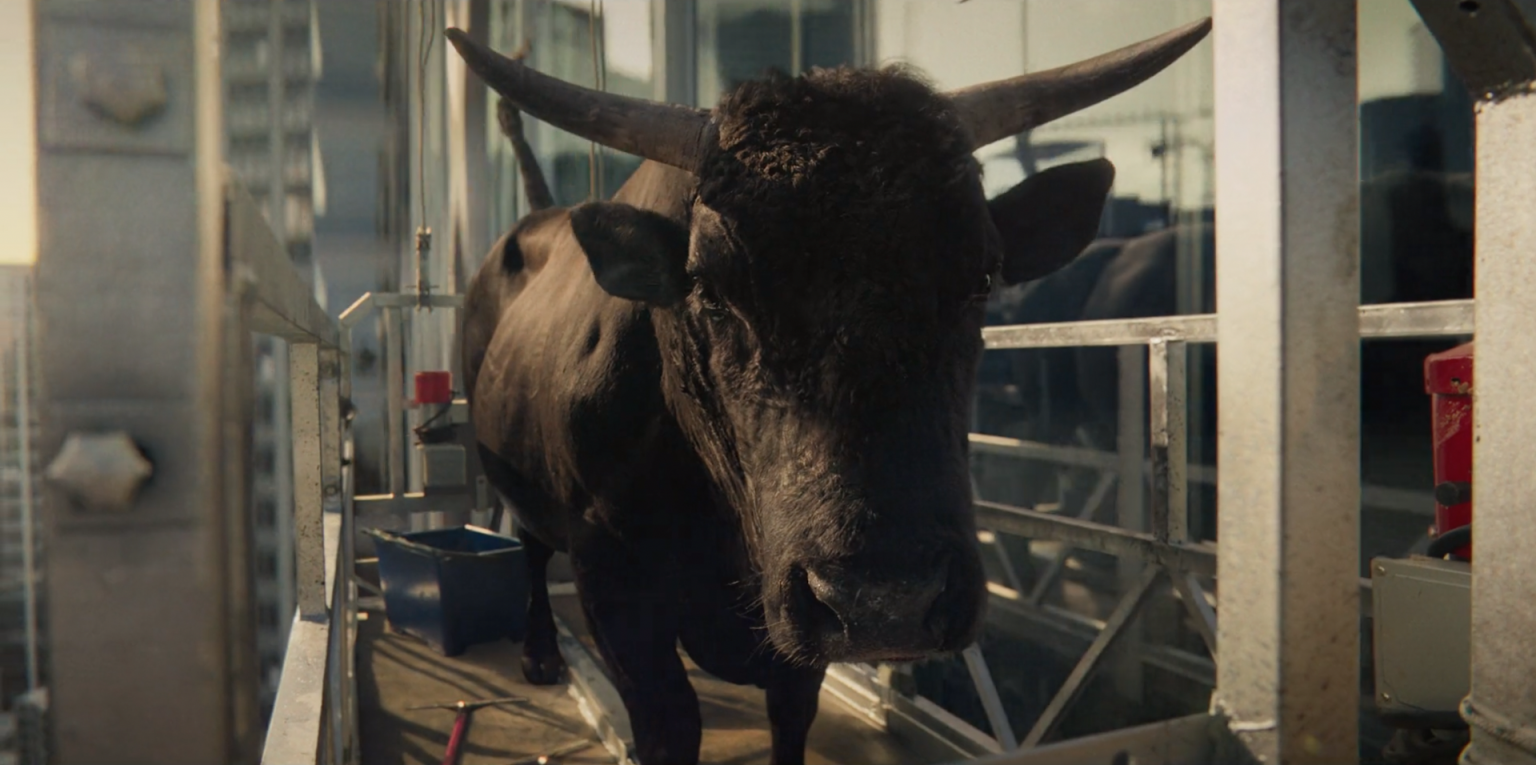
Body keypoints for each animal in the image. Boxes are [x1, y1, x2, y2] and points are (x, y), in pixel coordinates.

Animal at [448, 19, 1212, 765]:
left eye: (982, 277)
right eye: (710, 285)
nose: (886, 603)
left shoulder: (799, 652)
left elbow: (792, 717)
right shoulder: (615, 591)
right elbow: (672, 725)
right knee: (528, 546)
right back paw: (541, 653)